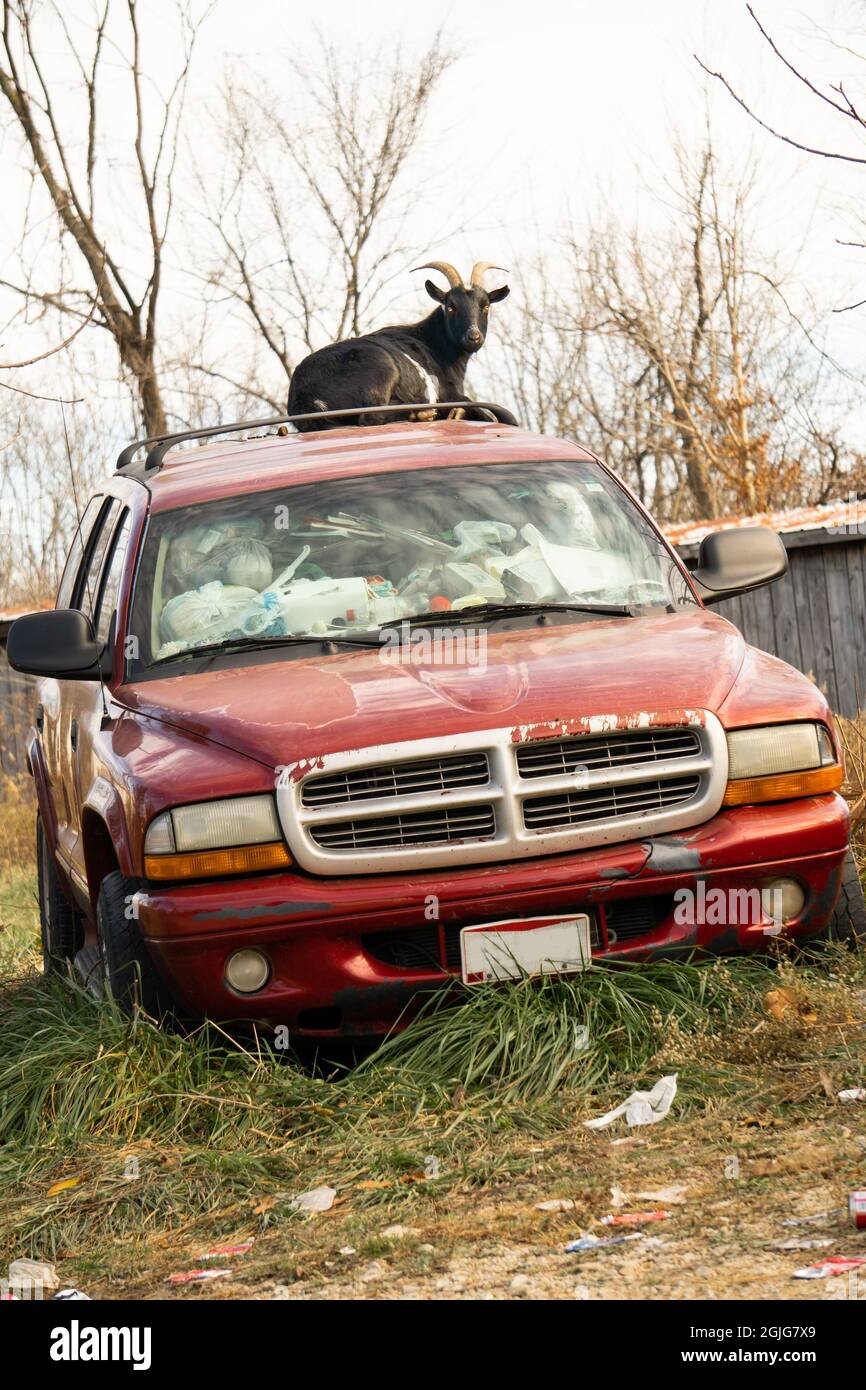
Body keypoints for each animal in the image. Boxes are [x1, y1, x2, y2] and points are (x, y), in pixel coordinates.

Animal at [286, 261, 510, 431]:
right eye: (451, 306)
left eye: (486, 306)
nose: (474, 336)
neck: (435, 344)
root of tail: (304, 399)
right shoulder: (450, 394)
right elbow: (482, 411)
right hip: (382, 366)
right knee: (371, 417)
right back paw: (421, 413)